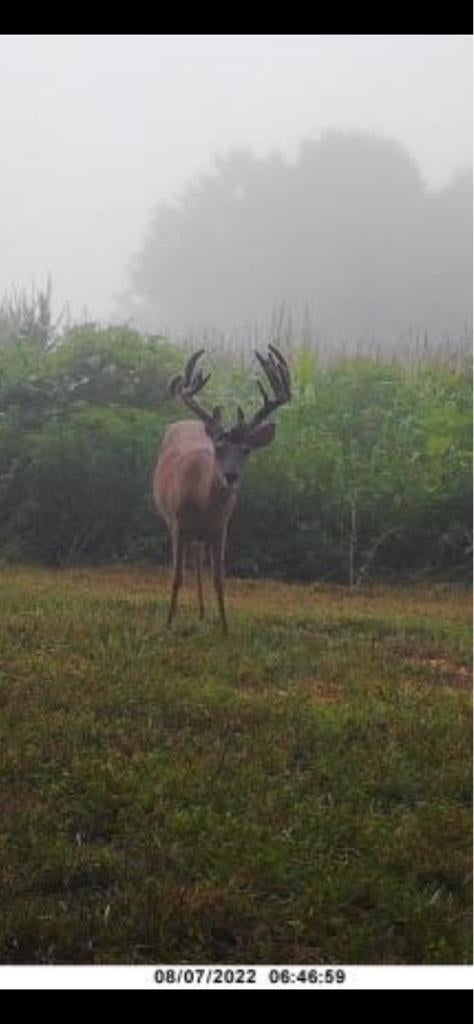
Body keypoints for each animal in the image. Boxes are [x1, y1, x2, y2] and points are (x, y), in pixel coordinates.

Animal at [153, 344, 291, 634]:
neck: (201, 502)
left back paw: (203, 612)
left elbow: (219, 578)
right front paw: (169, 622)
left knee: (199, 562)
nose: (231, 475)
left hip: (204, 535)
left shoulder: (221, 527)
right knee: (191, 562)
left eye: (246, 450)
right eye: (218, 448)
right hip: (177, 525)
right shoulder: (177, 524)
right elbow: (176, 576)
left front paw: (225, 627)